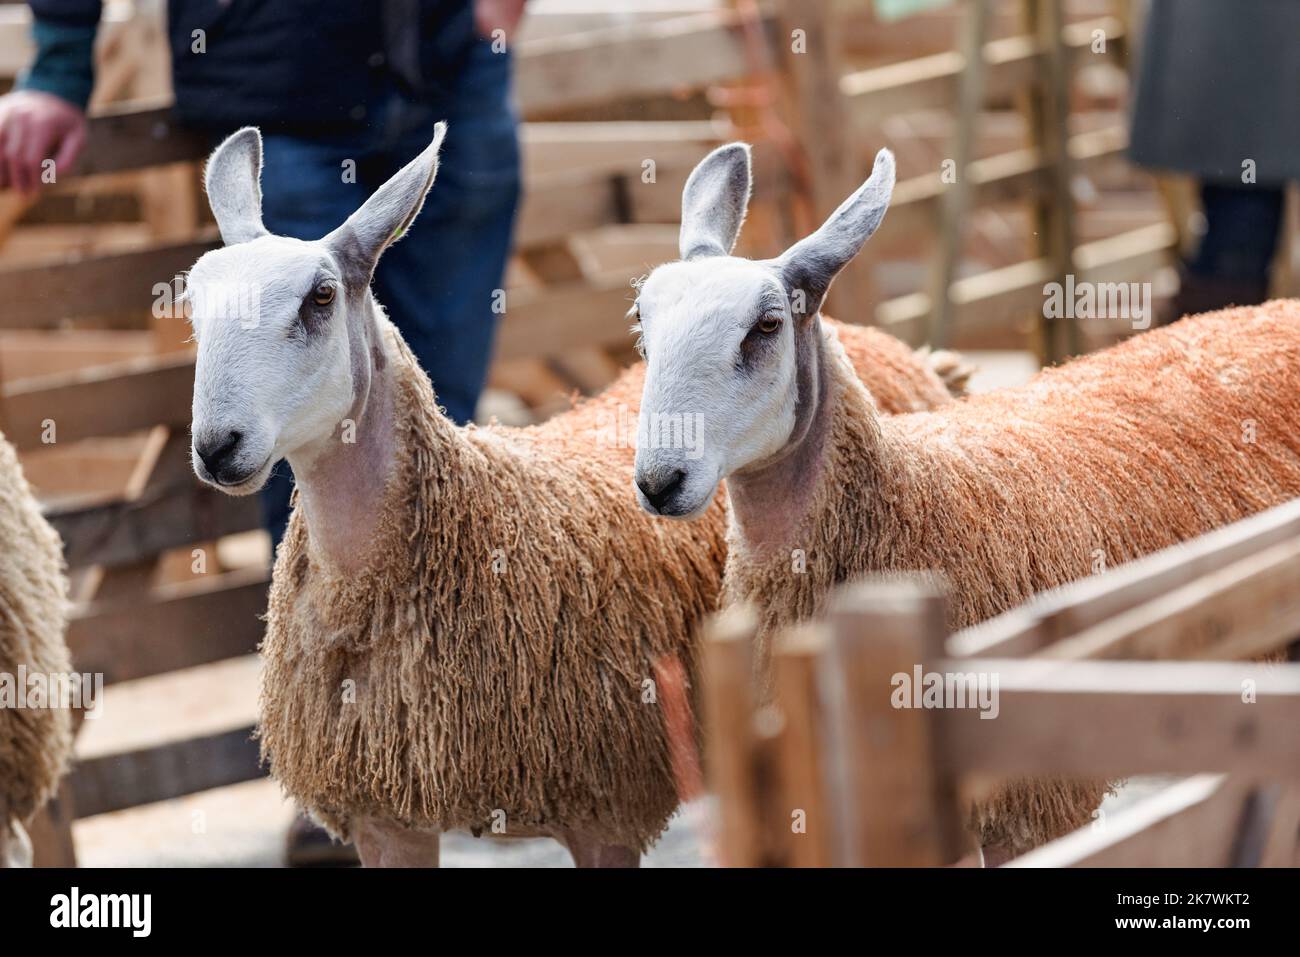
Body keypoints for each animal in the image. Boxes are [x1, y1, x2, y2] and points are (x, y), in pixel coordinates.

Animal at [185, 126, 961, 867]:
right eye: (190, 303)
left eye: (320, 298)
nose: (217, 445)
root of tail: (887, 344)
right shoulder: (385, 819)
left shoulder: (602, 810)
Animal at [631, 142, 1300, 864]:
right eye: (641, 324)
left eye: (767, 325)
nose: (659, 480)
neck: (910, 497)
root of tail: (1273, 309)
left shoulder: (1036, 800)